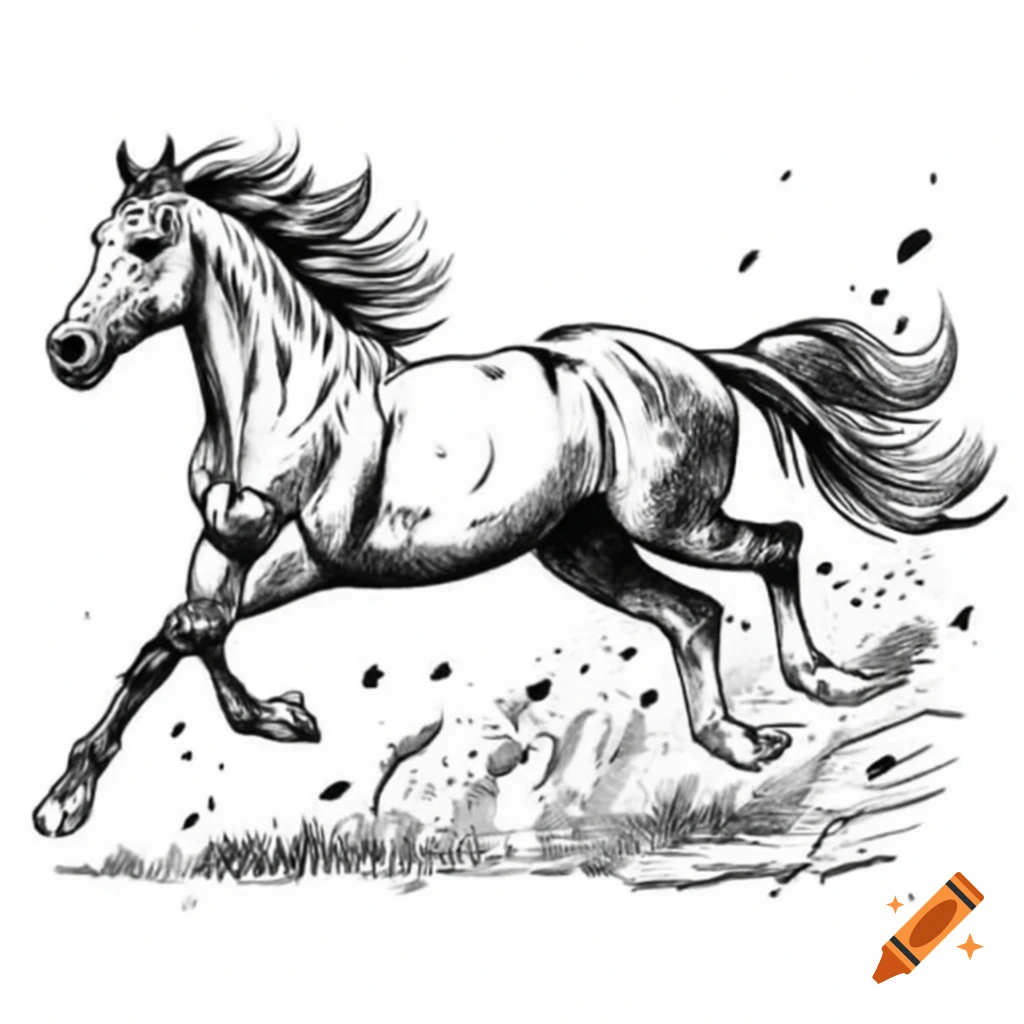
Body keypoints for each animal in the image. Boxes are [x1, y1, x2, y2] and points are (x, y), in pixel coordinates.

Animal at [35, 135, 1003, 838]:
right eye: (96, 241)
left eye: (146, 242)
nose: (68, 350)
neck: (284, 402)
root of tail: (701, 360)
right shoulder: (232, 548)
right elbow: (182, 635)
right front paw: (264, 723)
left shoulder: (311, 557)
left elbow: (186, 631)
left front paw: (83, 793)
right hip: (583, 547)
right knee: (691, 612)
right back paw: (735, 740)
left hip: (673, 520)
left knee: (779, 546)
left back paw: (821, 686)